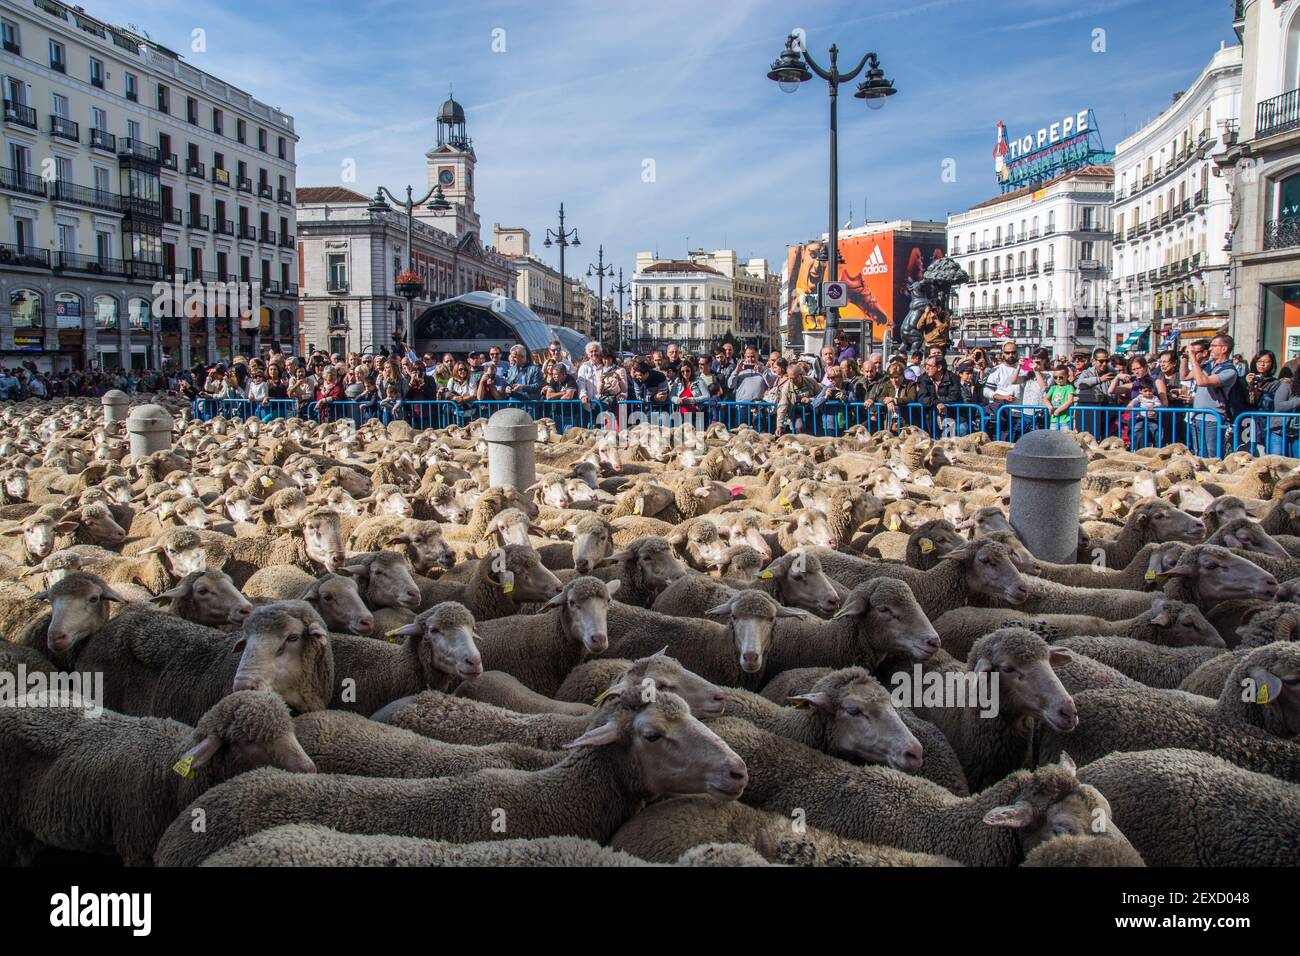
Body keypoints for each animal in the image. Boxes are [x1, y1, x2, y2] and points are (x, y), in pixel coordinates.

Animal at [0, 690, 315, 866]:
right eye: (249, 741)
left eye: (290, 729)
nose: (309, 769)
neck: (172, 777)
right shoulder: (138, 847)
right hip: (8, 825)